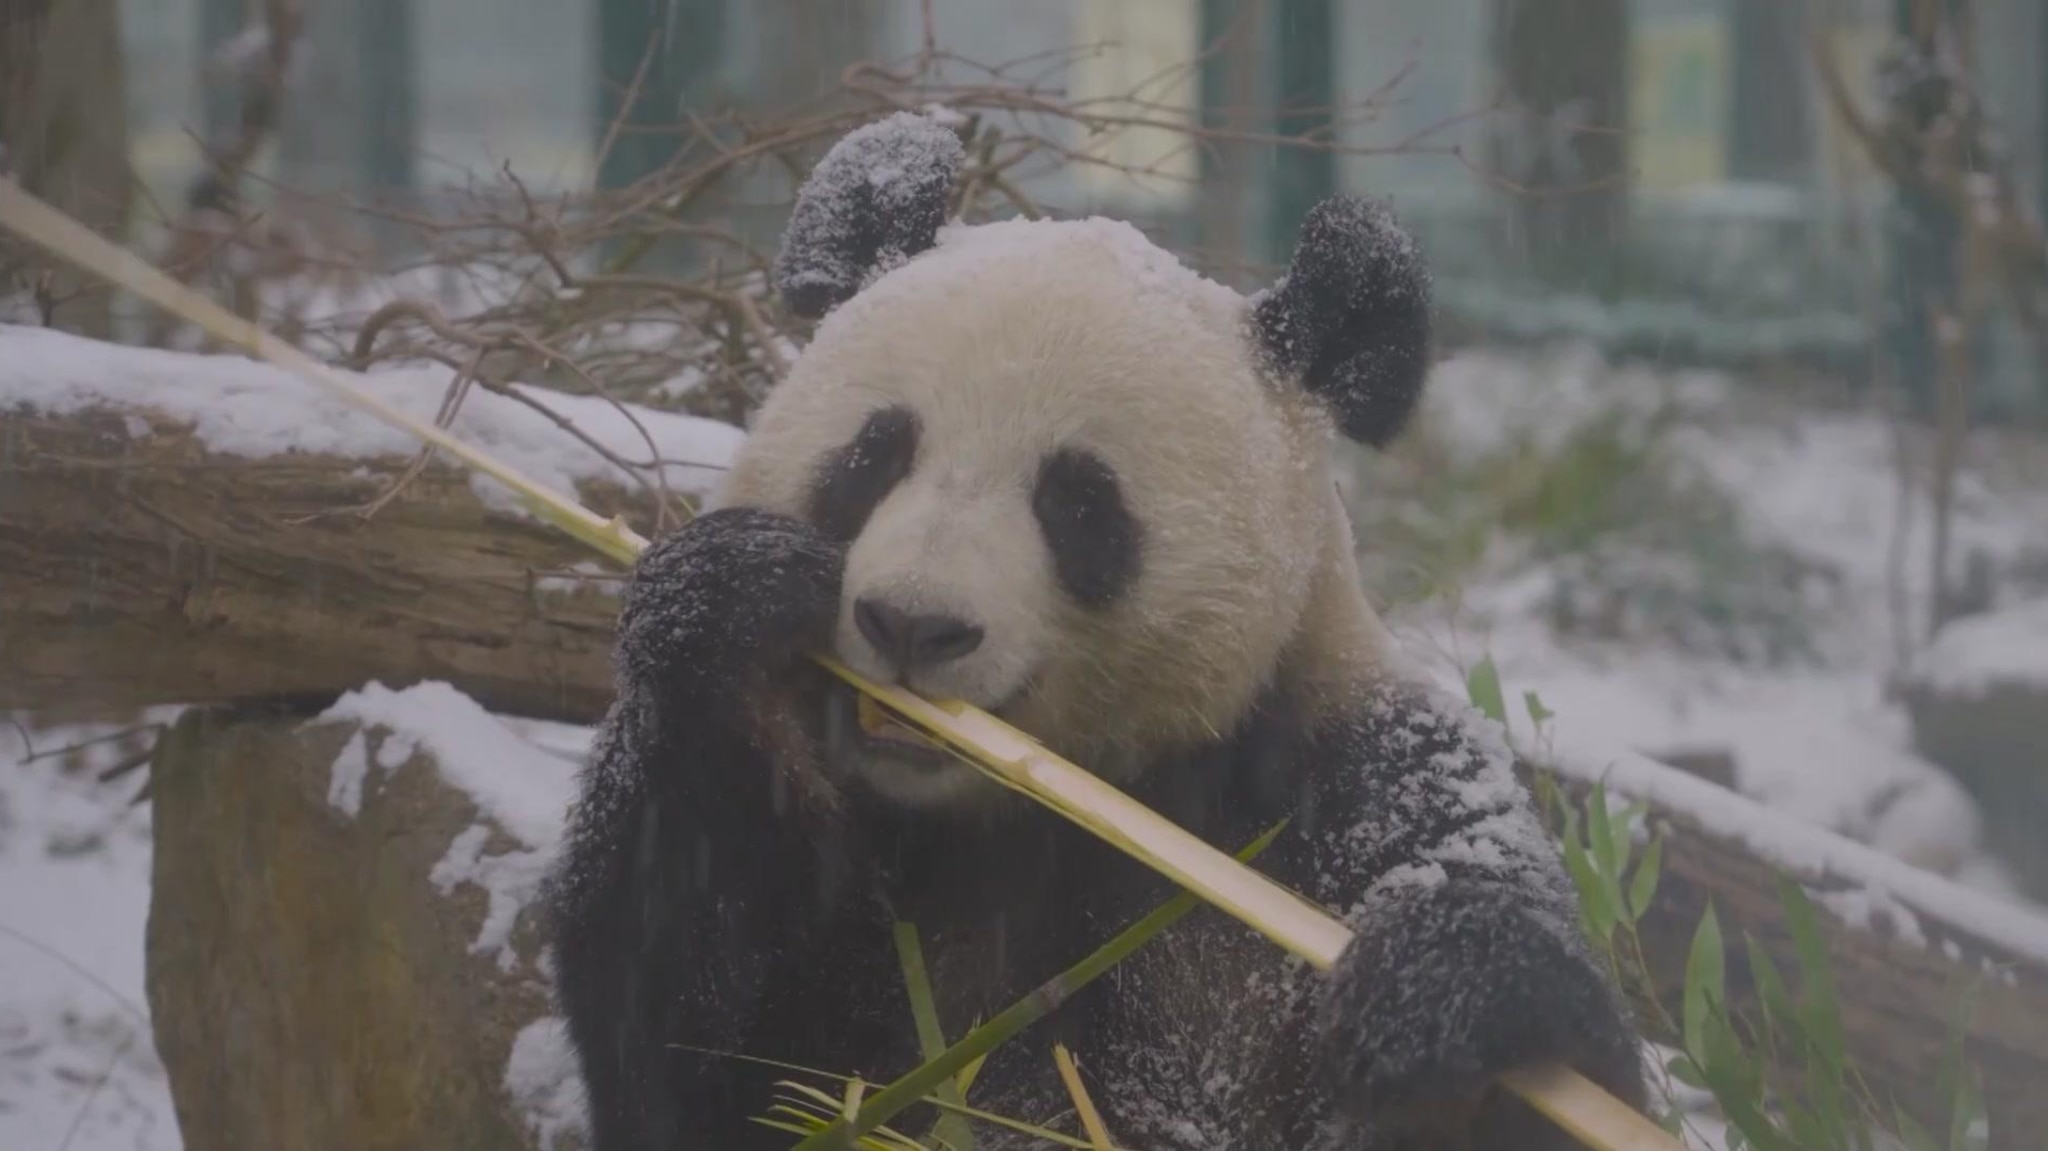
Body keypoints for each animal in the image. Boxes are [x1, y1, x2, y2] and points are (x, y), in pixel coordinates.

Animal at [545, 112, 1646, 1150]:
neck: (1037, 803)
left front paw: (1444, 995)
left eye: (1077, 502)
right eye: (874, 453)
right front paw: (727, 605)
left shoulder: (1342, 789)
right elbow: (718, 1065)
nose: (912, 623)